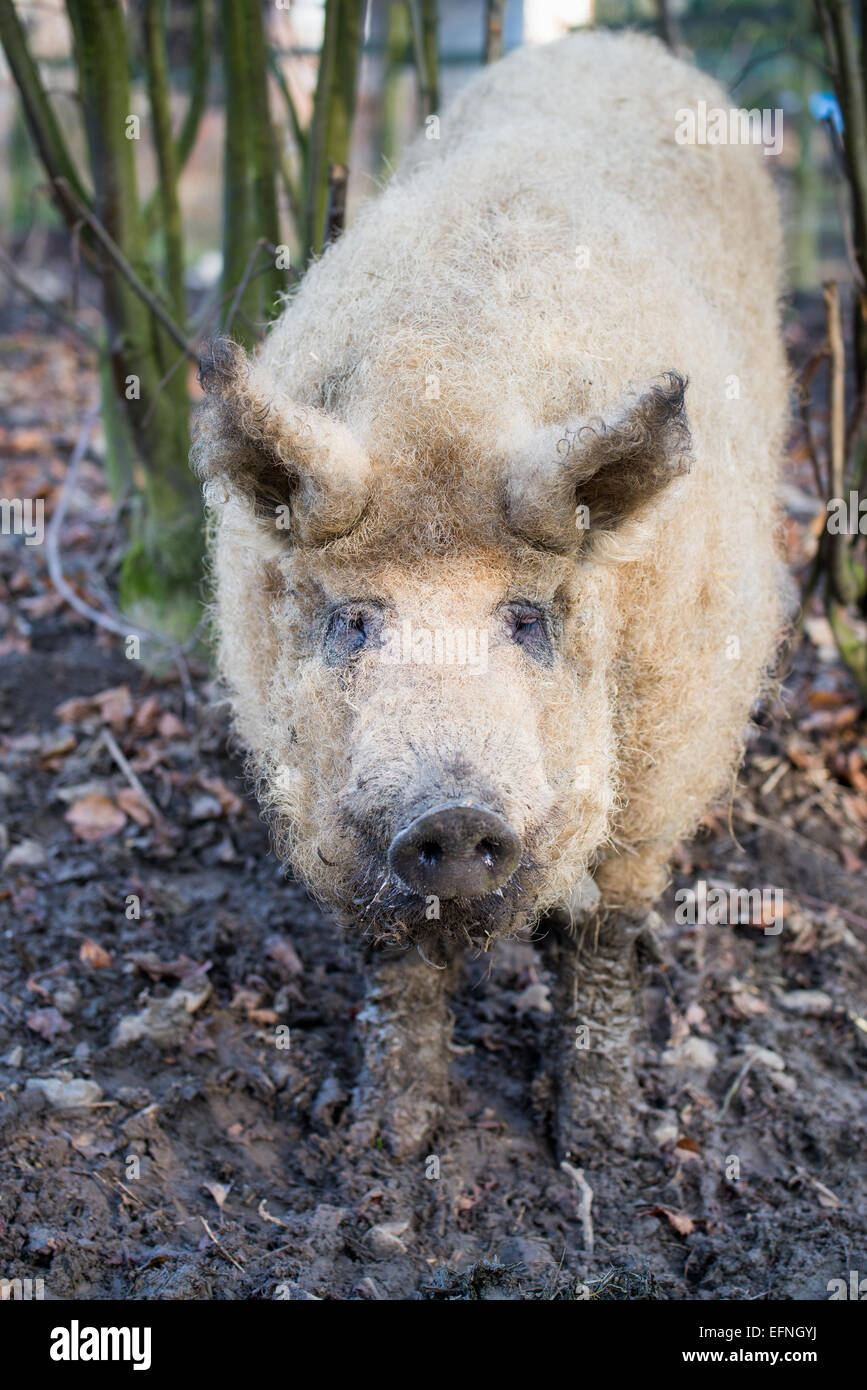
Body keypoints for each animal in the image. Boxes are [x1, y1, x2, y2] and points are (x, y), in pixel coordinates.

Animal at [192, 30, 787, 1162]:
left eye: (527, 619)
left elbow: (606, 934)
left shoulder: (668, 756)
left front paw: (596, 1145)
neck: (448, 400)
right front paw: (386, 1143)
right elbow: (395, 962)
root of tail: (615, 40)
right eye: (353, 621)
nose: (455, 811)